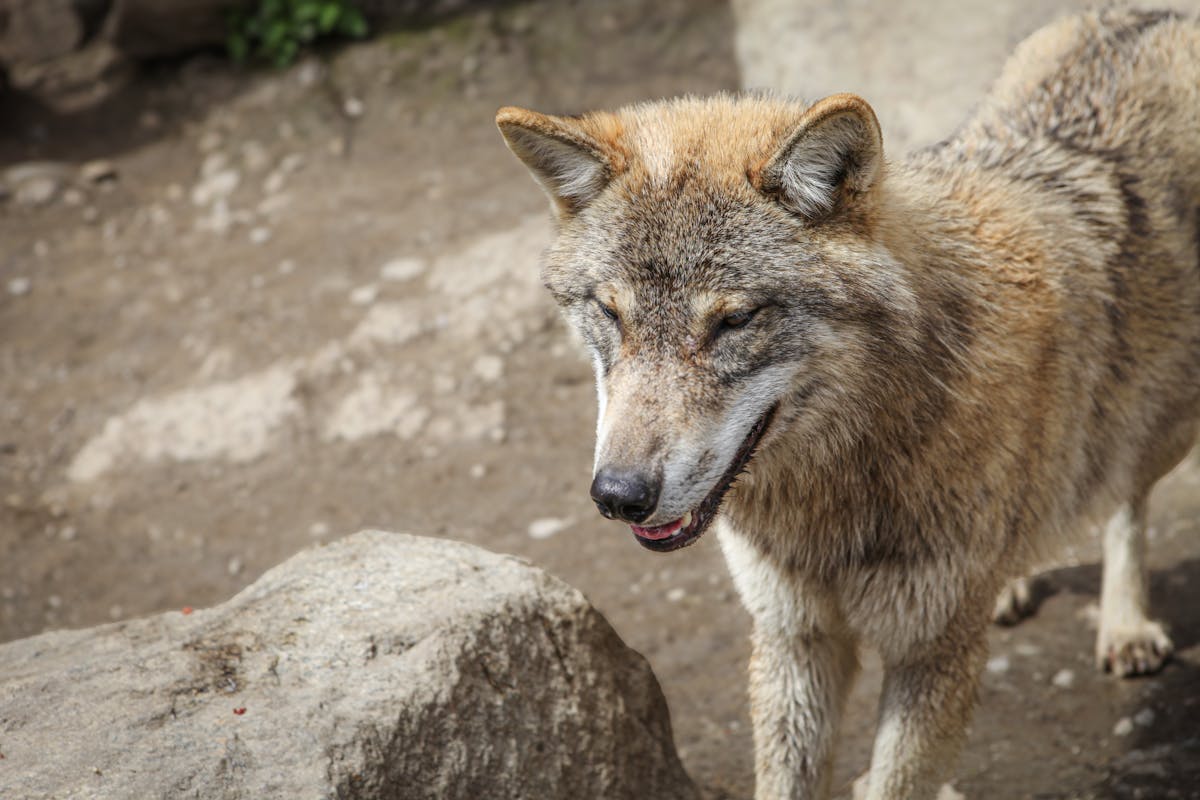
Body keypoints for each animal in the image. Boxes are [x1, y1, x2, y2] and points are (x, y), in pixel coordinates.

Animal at [497, 9, 1200, 799]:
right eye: (611, 315)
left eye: (734, 321)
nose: (619, 495)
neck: (839, 492)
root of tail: (1155, 13)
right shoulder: (795, 637)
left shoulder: (934, 652)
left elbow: (899, 778)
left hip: (1168, 420)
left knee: (1125, 490)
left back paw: (1124, 623)